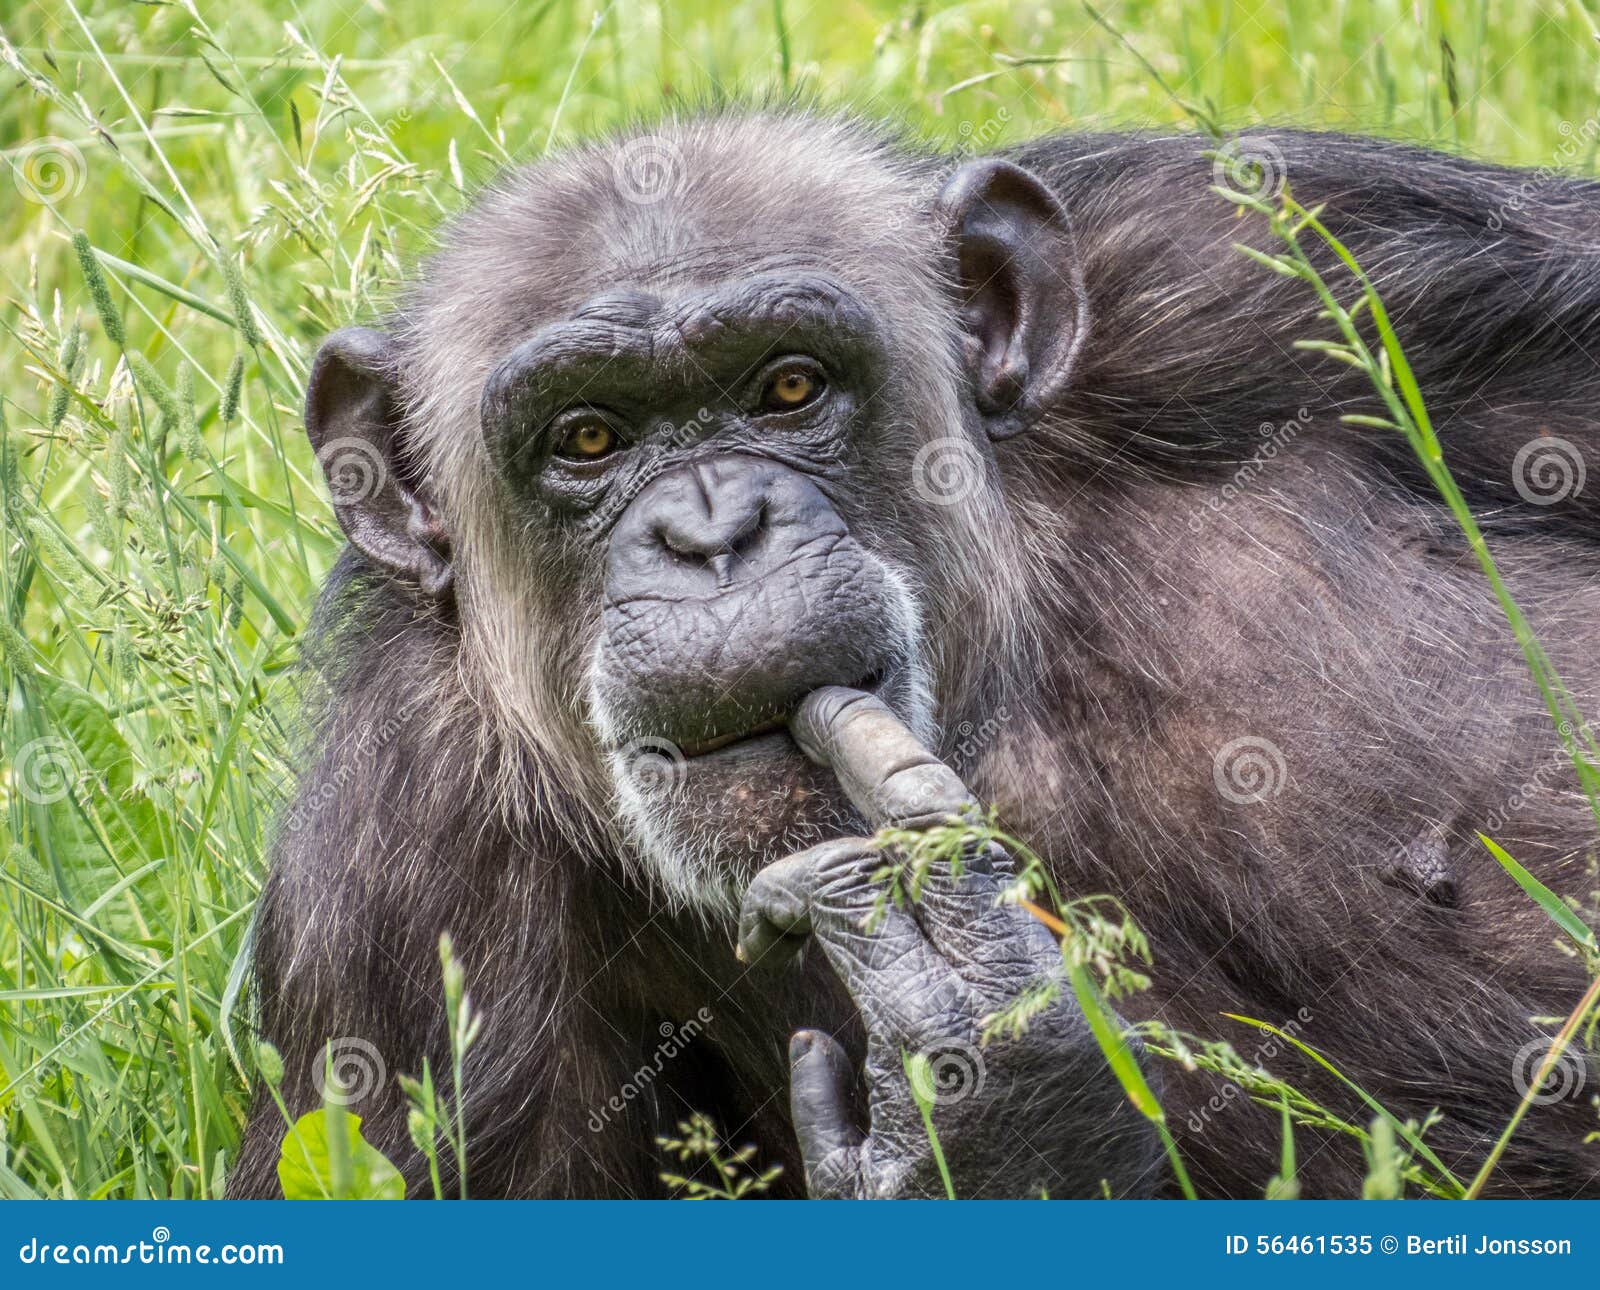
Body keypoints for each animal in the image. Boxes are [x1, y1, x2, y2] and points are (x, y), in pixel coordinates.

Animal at [229, 110, 1600, 1199]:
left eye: (788, 388)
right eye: (586, 439)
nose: (712, 533)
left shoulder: (1276, 254)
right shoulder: (399, 891)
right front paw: (990, 1079)